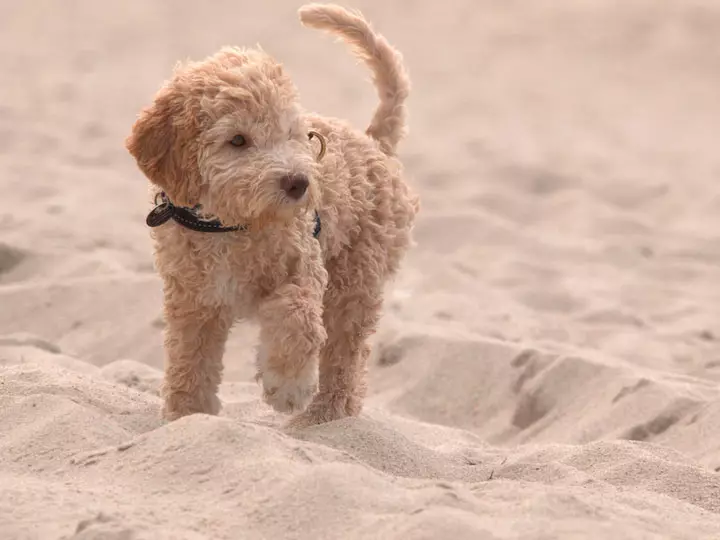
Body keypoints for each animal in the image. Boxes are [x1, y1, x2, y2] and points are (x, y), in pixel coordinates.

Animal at [124, 3, 416, 426]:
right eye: (238, 140)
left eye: (295, 134)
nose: (299, 183)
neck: (230, 225)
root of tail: (374, 143)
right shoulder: (194, 298)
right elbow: (189, 355)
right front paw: (187, 413)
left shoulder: (303, 267)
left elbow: (299, 319)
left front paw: (289, 387)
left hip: (355, 277)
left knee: (345, 352)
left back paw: (325, 415)